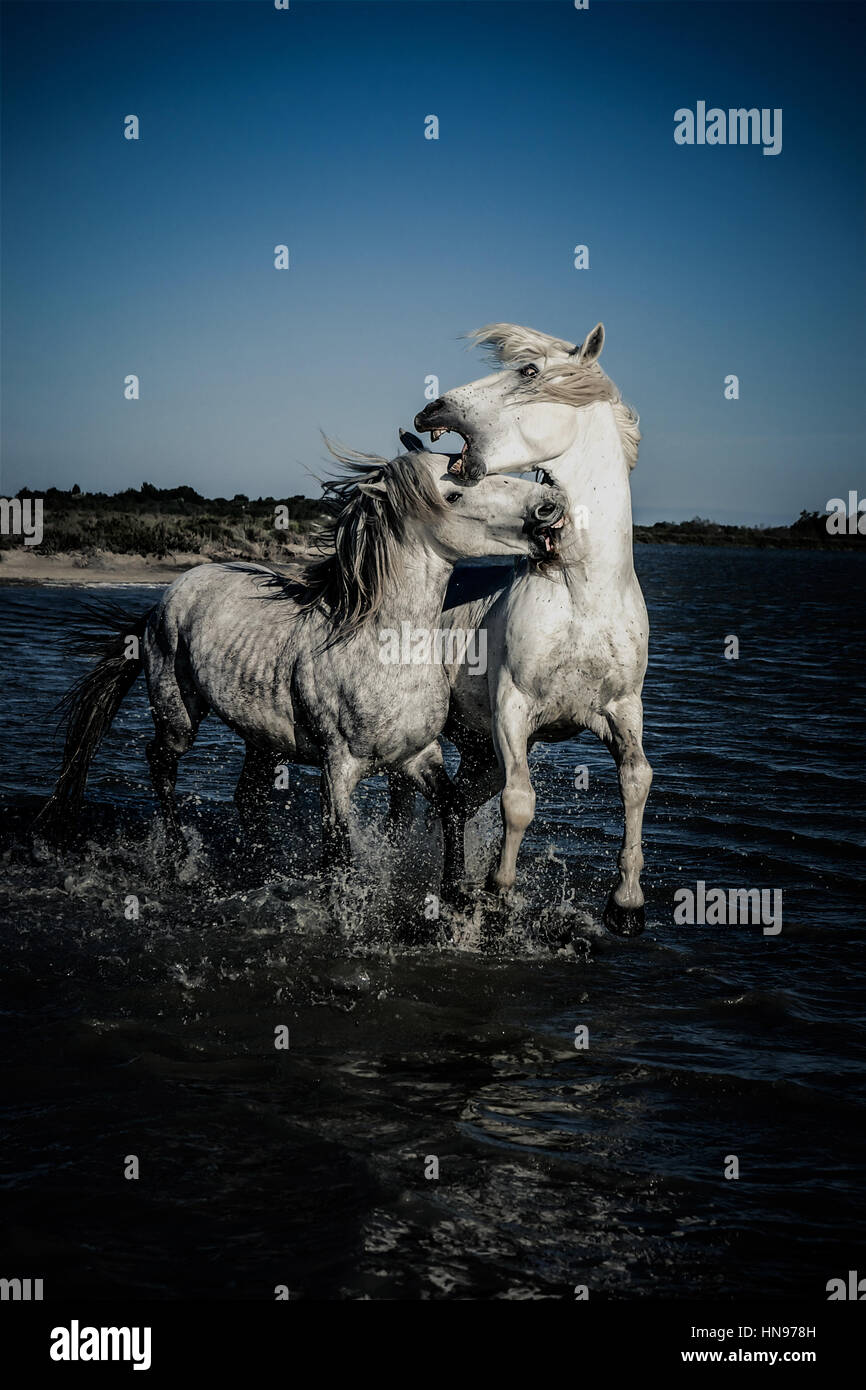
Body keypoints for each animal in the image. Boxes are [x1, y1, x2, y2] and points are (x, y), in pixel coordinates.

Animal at [37, 447, 567, 903]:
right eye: (454, 494)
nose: (549, 505)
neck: (381, 645)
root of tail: (166, 596)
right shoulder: (340, 767)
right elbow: (339, 851)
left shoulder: (418, 755)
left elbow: (452, 809)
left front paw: (458, 896)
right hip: (178, 714)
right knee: (161, 762)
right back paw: (177, 859)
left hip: (262, 737)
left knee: (248, 798)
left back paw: (260, 867)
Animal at [410, 323, 652, 935]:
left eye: (528, 372)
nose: (430, 409)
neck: (583, 594)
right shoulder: (513, 708)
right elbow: (520, 801)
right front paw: (499, 896)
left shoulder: (622, 708)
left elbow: (637, 780)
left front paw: (626, 904)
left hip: (476, 751)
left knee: (457, 803)